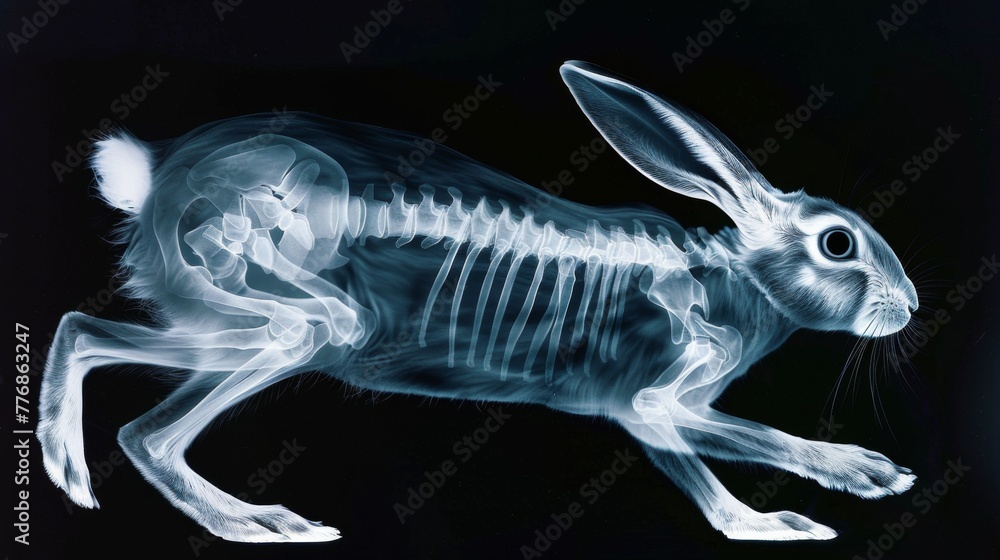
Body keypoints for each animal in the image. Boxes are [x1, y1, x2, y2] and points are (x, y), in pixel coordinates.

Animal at [38, 60, 918, 543]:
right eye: (837, 243)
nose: (909, 307)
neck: (735, 280)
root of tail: (158, 182)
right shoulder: (654, 400)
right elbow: (745, 450)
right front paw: (858, 482)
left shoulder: (658, 412)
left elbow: (722, 471)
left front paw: (814, 502)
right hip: (289, 312)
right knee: (152, 430)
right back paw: (262, 527)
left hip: (224, 328)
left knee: (86, 335)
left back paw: (70, 476)